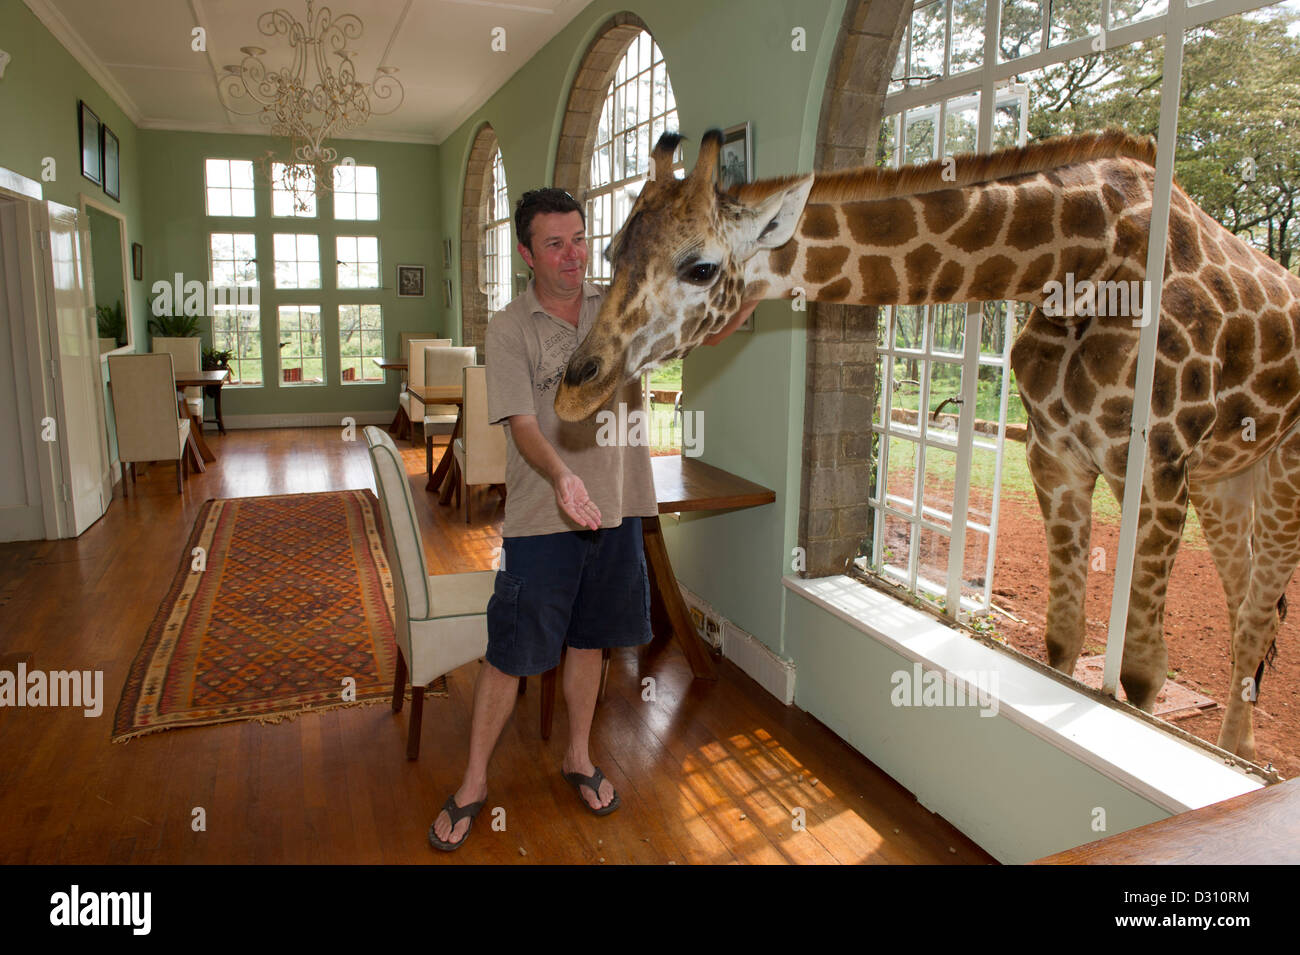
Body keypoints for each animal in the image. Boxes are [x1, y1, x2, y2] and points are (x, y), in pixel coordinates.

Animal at [555, 128, 1300, 761]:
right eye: (612, 252)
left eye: (702, 268)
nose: (571, 390)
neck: (1077, 257)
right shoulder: (1057, 457)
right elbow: (1061, 640)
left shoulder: (1157, 467)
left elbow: (1144, 673)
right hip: (1227, 479)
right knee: (1248, 609)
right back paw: (1241, 749)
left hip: (1277, 469)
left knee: (1257, 610)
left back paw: (1241, 757)